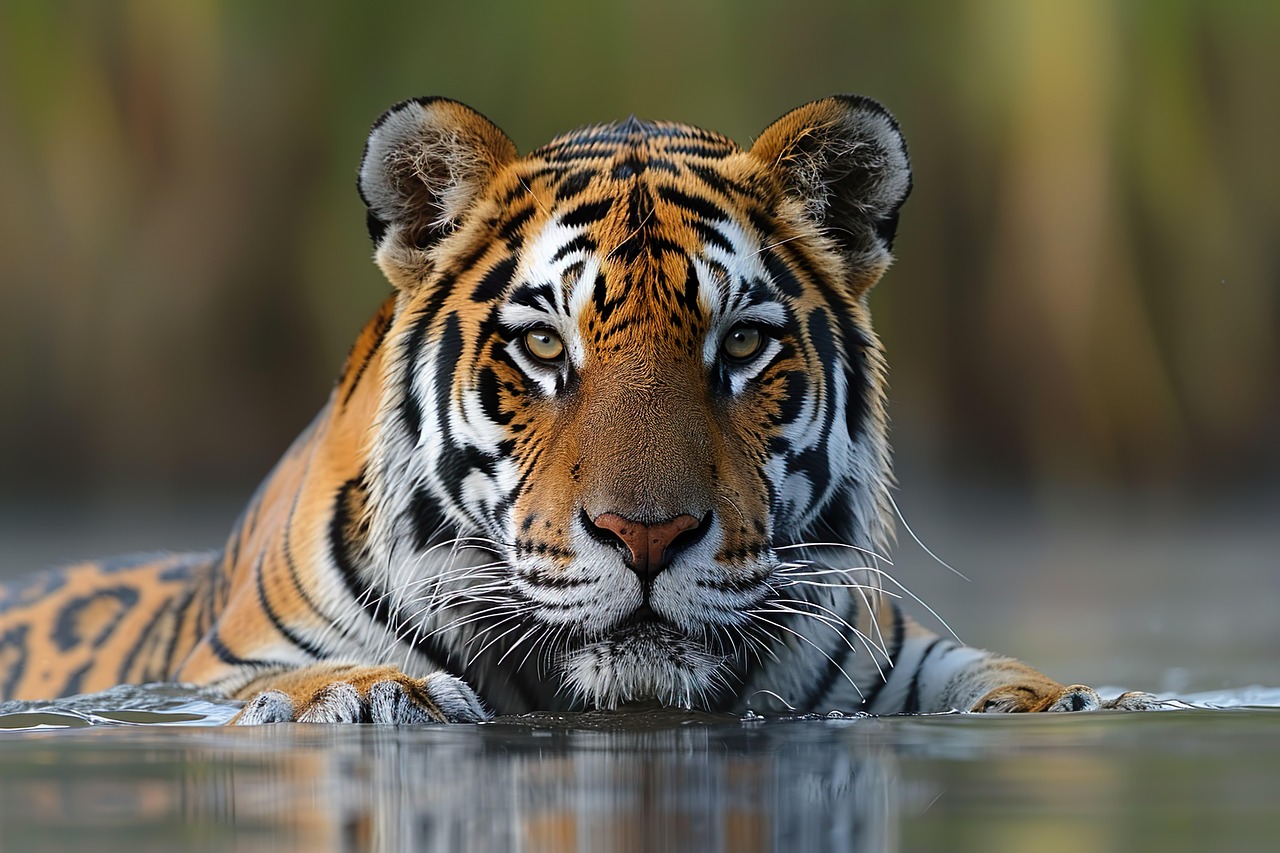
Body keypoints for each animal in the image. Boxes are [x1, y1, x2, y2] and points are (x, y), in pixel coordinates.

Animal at [0, 95, 1161, 722]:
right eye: (545, 346)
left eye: (741, 344)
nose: (644, 535)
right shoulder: (220, 668)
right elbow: (304, 678)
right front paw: (375, 692)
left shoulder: (885, 654)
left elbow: (994, 674)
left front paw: (1089, 703)